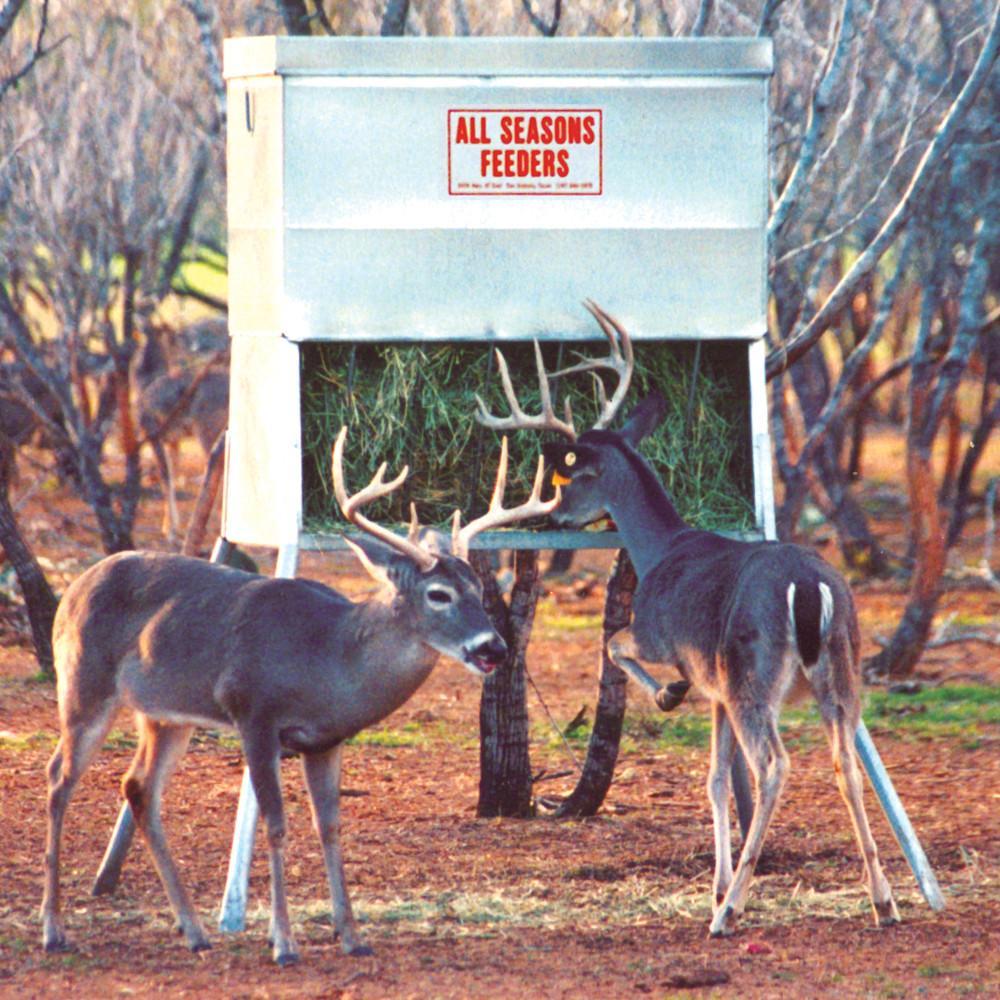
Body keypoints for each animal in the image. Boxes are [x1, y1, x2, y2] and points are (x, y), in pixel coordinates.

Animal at [41, 428, 558, 965]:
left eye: (479, 588)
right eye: (439, 594)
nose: (494, 646)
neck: (328, 659)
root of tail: (75, 586)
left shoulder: (326, 740)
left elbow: (329, 827)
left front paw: (352, 936)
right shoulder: (253, 713)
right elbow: (275, 824)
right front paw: (284, 942)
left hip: (166, 715)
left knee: (138, 787)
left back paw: (194, 930)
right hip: (83, 684)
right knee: (59, 777)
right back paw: (54, 930)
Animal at [475, 301, 900, 936]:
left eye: (567, 477)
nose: (552, 516)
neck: (661, 549)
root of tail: (811, 588)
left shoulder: (662, 634)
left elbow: (614, 643)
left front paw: (667, 694)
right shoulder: (716, 686)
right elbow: (716, 780)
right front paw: (716, 881)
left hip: (754, 670)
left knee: (775, 765)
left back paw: (731, 912)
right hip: (839, 670)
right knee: (844, 760)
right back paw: (883, 902)